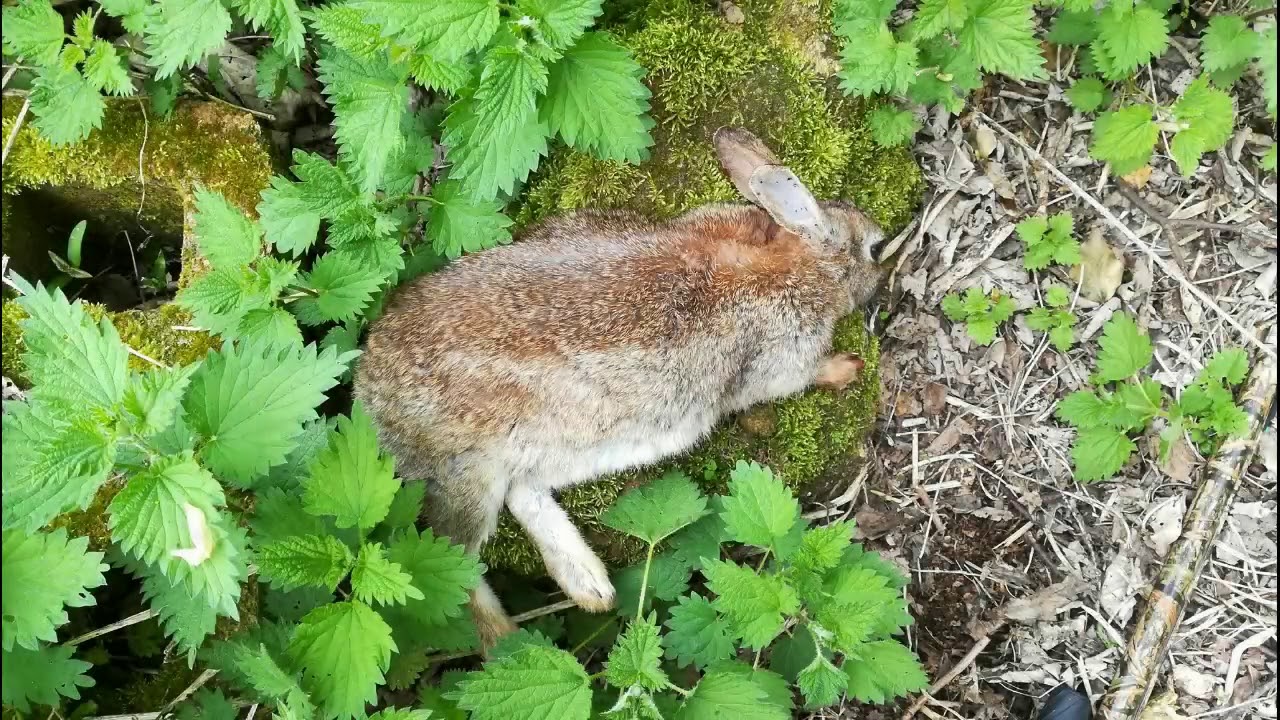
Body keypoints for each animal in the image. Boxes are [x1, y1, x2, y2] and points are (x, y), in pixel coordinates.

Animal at [353, 127, 888, 649]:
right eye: (873, 249)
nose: (882, 264)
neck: (795, 258)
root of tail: (370, 393)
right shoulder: (781, 358)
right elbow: (797, 376)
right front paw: (847, 367)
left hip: (571, 443)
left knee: (521, 493)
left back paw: (591, 588)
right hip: (469, 469)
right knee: (453, 566)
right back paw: (510, 639)